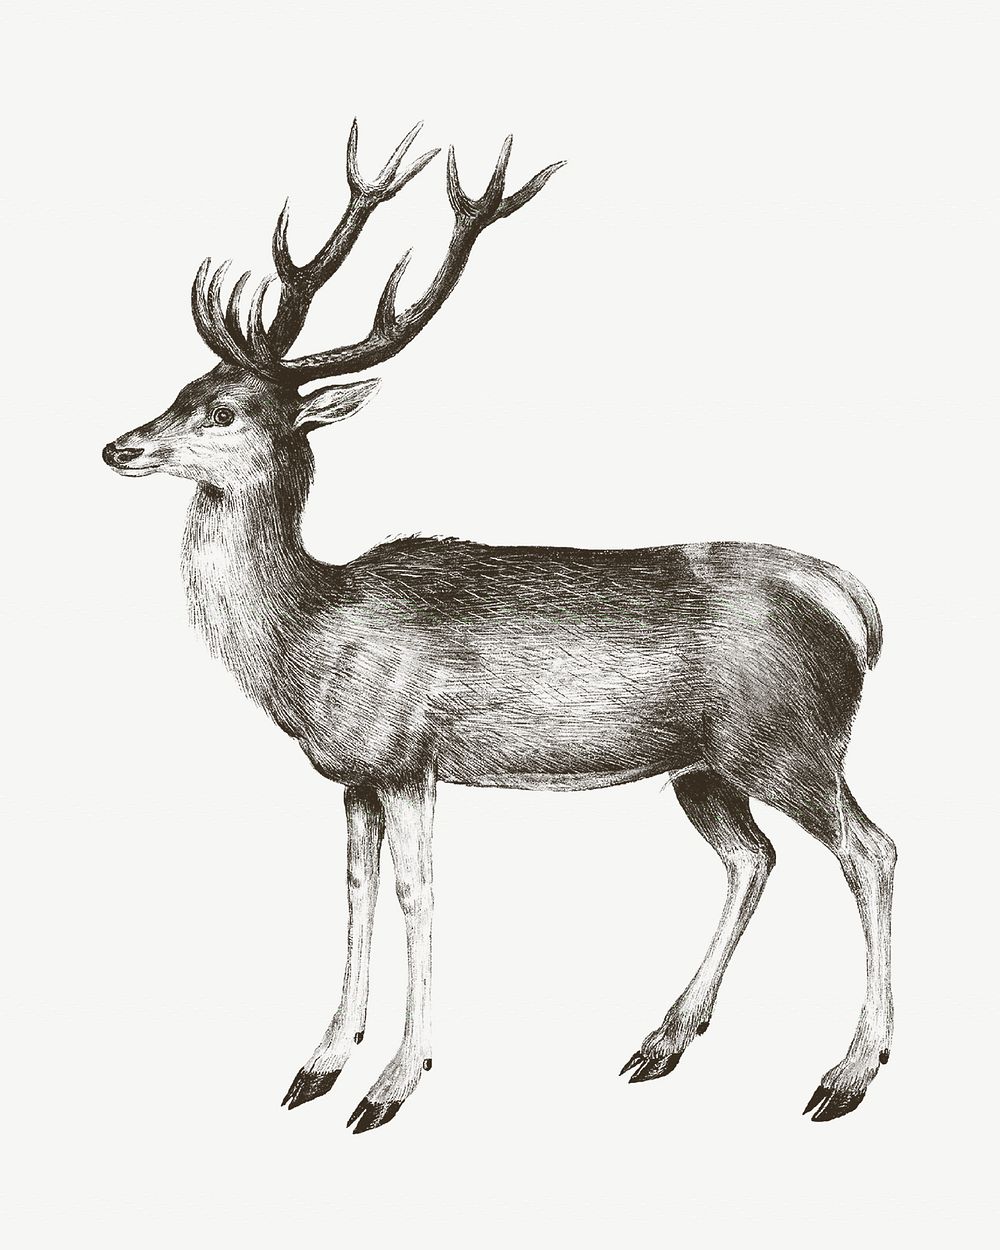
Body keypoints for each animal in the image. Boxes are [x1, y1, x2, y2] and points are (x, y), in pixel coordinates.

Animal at [103, 121, 895, 1133]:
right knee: (752, 857)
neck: (306, 634)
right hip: (705, 766)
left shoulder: (408, 755)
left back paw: (848, 1073)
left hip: (791, 741)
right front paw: (319, 1063)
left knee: (871, 850)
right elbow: (356, 892)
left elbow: (419, 894)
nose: (118, 446)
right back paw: (662, 1042)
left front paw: (394, 1083)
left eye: (223, 409)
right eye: (181, 386)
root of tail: (845, 601)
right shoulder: (353, 773)